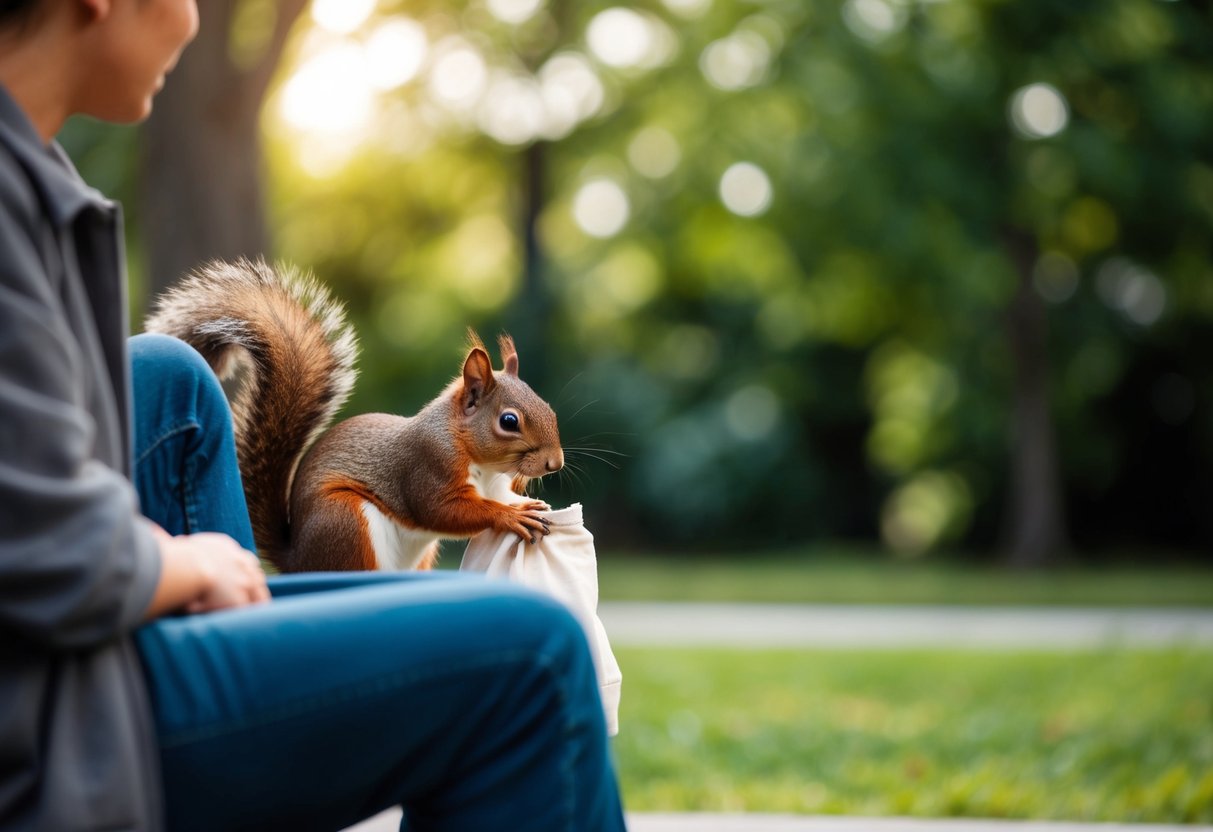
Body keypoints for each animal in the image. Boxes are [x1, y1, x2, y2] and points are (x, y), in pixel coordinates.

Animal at [144, 258, 563, 572]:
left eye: (549, 408)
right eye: (508, 421)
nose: (555, 463)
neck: (483, 463)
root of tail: (298, 561)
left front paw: (532, 508)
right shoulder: (427, 465)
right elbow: (445, 511)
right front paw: (509, 517)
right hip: (345, 521)